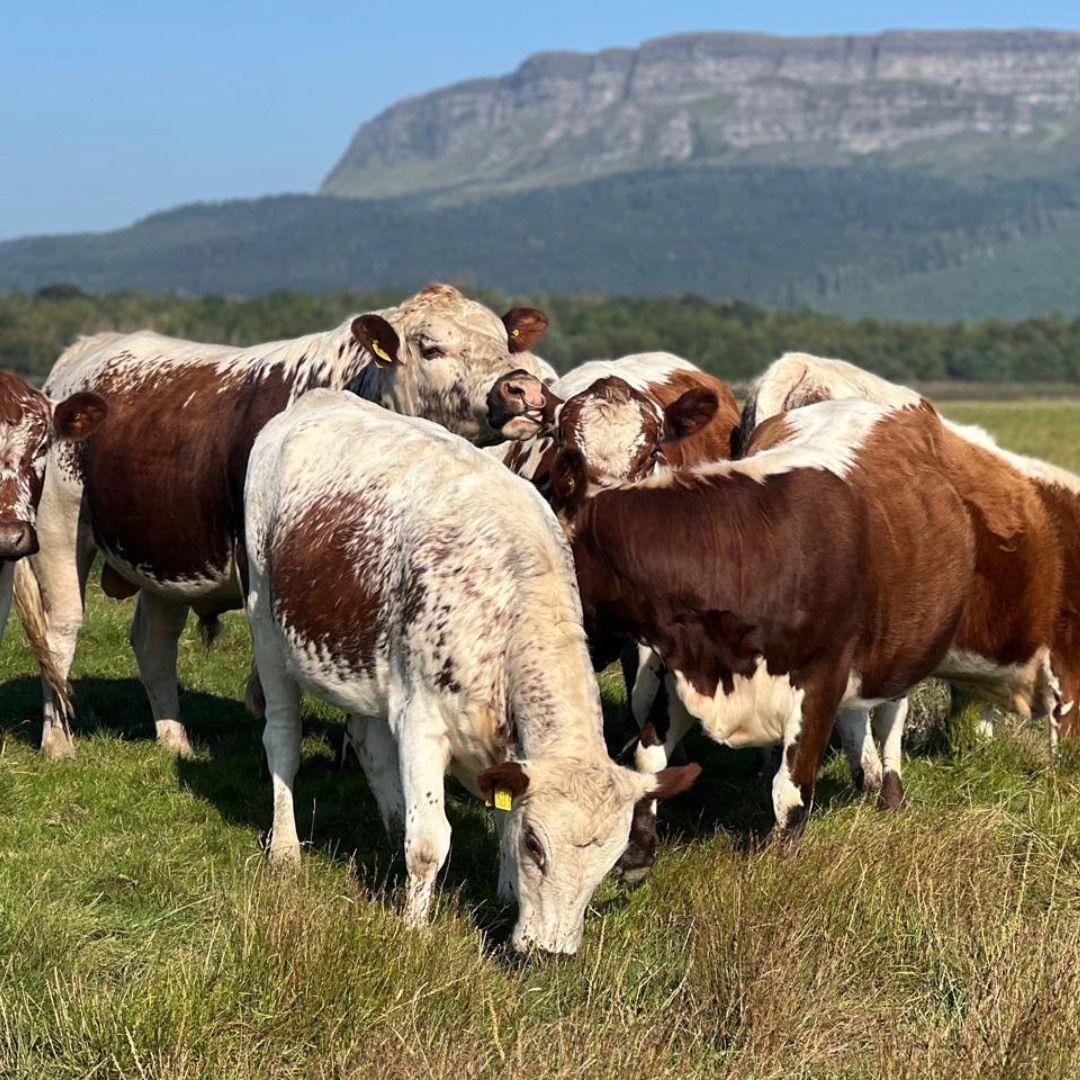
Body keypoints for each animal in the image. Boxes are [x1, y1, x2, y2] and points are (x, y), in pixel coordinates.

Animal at [18, 284, 552, 759]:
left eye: (506, 342)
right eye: (431, 347)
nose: (523, 388)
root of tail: (87, 352)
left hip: (164, 554)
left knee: (154, 643)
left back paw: (175, 740)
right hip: (60, 530)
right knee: (61, 630)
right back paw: (58, 742)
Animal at [243, 390, 699, 954]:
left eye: (610, 860)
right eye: (537, 845)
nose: (551, 953)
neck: (505, 601)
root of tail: (315, 399)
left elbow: (497, 813)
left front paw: (505, 892)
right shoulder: (421, 722)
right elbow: (429, 842)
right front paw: (415, 927)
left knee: (369, 744)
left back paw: (390, 825)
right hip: (265, 620)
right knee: (282, 738)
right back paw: (286, 849)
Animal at [545, 381, 978, 868]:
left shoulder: (822, 678)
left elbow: (791, 790)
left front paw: (778, 861)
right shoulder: (680, 666)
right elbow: (648, 758)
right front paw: (636, 849)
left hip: (900, 651)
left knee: (889, 719)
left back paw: (888, 791)